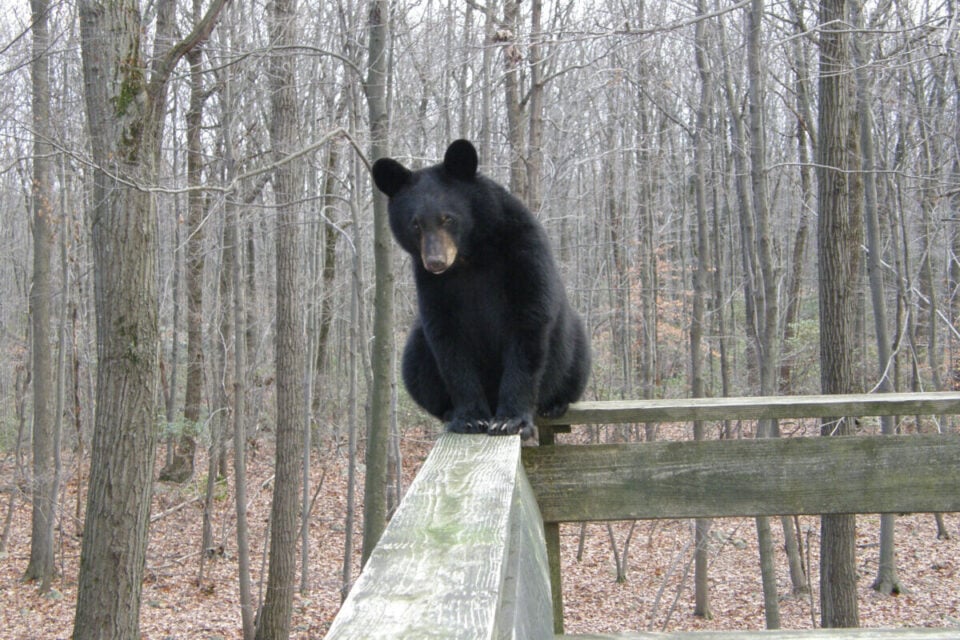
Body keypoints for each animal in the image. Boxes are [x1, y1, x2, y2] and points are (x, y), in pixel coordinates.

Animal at [371, 139, 590, 440]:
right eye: (415, 224)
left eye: (448, 218)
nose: (436, 262)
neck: (470, 257)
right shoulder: (431, 284)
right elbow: (448, 340)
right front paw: (470, 418)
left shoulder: (524, 252)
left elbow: (529, 324)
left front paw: (511, 420)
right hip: (417, 348)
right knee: (414, 364)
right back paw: (448, 411)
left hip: (573, 345)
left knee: (575, 362)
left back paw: (554, 404)